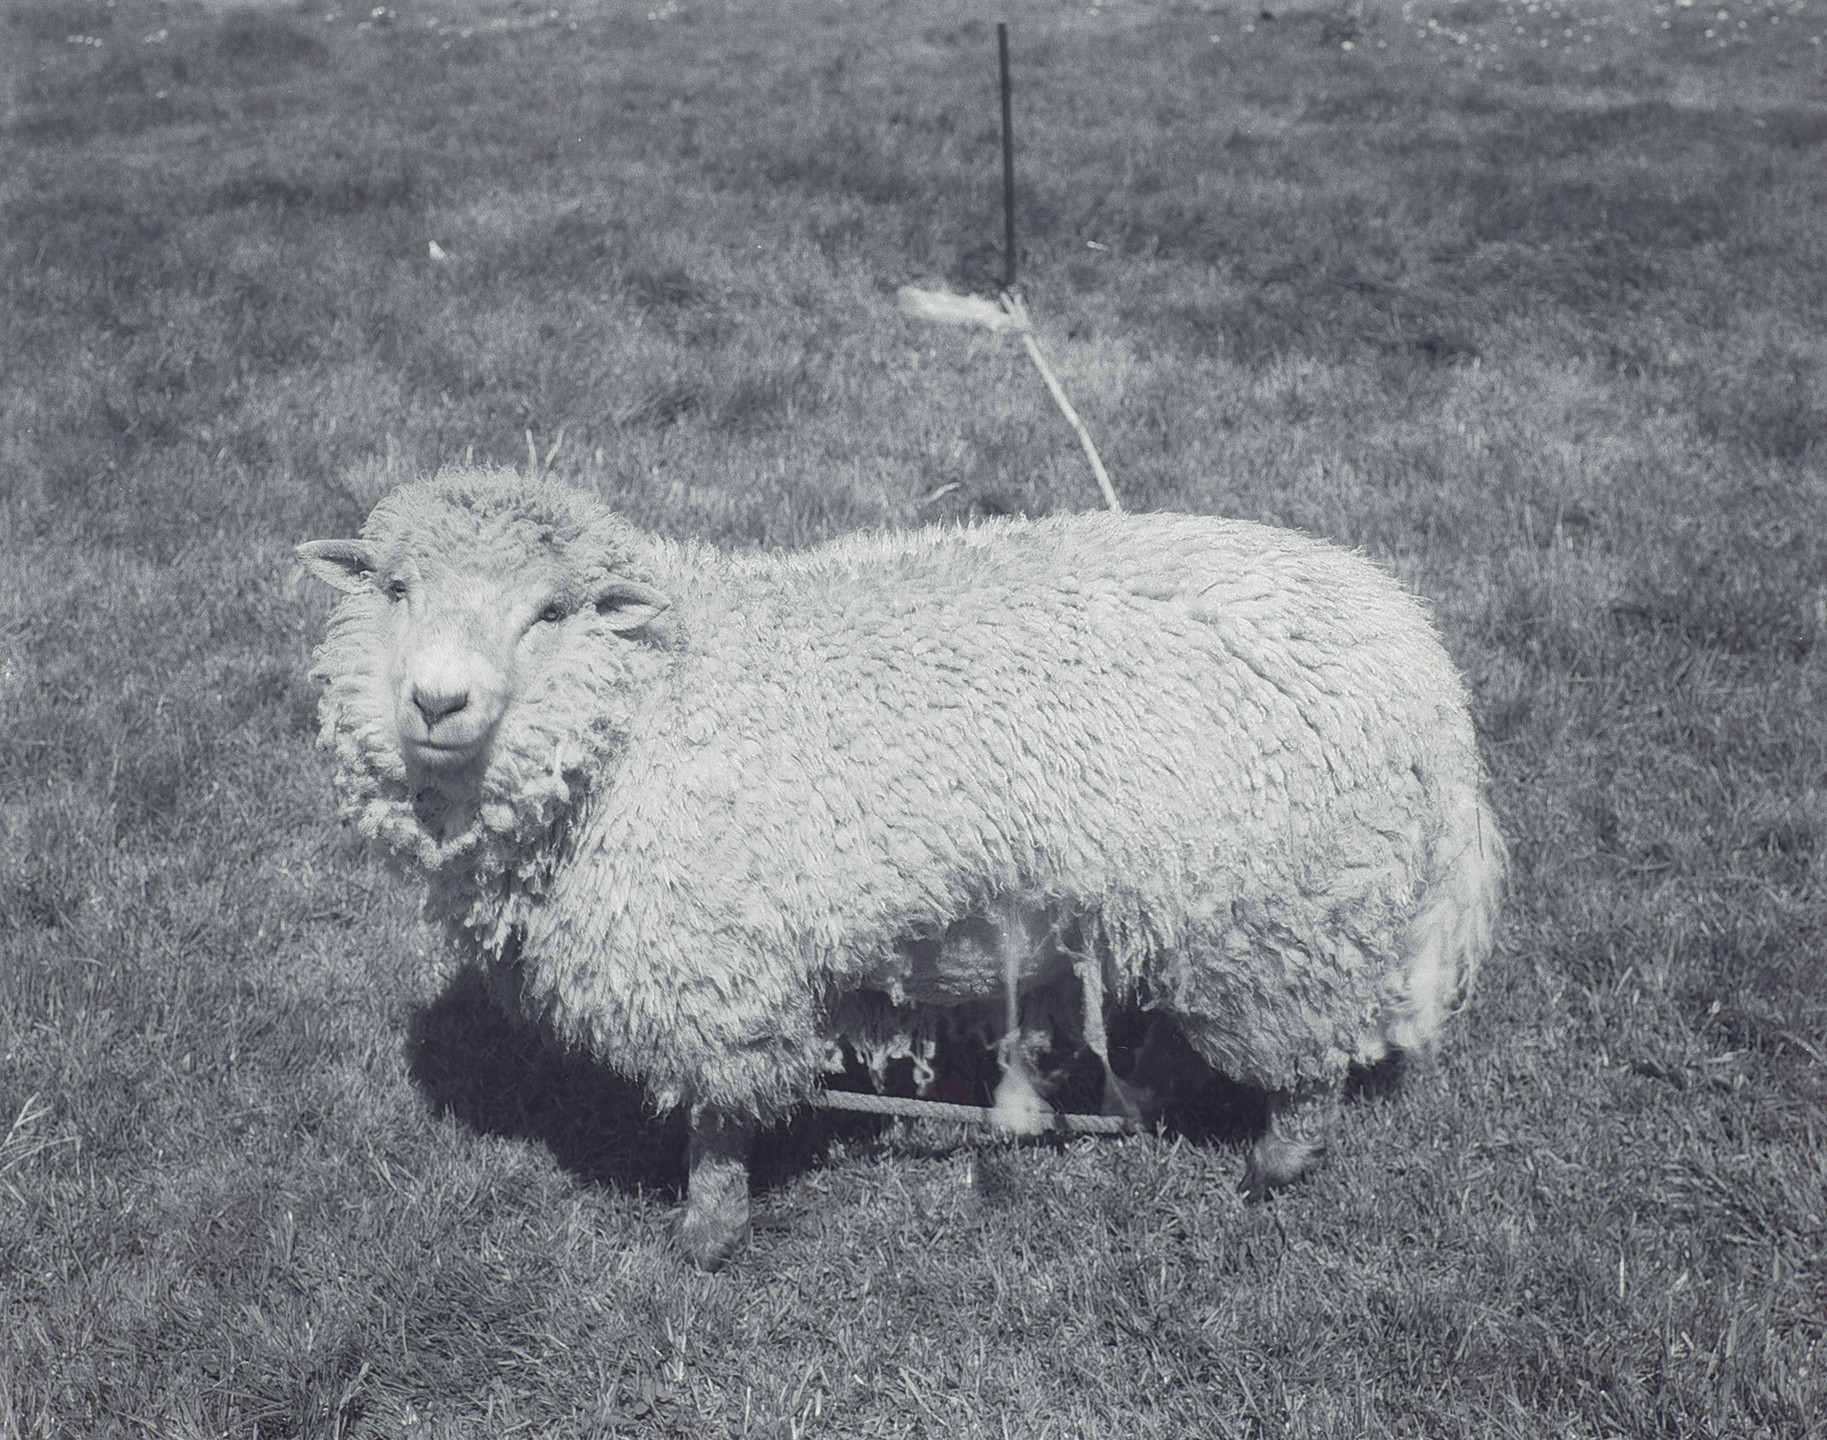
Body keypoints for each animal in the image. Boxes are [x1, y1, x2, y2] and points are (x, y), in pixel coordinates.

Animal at [297, 466, 1506, 1269]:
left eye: (549, 612)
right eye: (395, 591)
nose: (437, 702)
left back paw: (1274, 1164)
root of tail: (1423, 663)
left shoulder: (716, 968)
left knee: (1306, 1059)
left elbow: (718, 1118)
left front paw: (707, 1235)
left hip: (1283, 905)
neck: (651, 703)